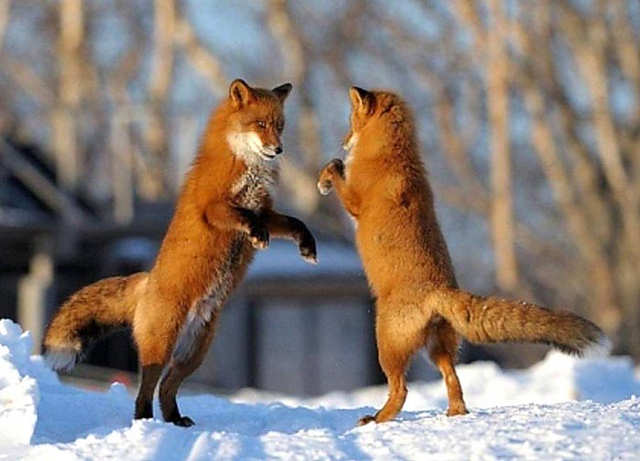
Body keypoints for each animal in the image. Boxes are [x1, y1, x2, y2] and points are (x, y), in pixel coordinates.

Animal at [43, 79, 317, 427]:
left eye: (280, 126)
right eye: (260, 124)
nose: (278, 149)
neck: (245, 166)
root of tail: (145, 283)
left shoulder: (266, 210)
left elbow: (295, 223)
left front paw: (307, 245)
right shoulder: (212, 207)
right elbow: (241, 216)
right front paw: (257, 234)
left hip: (193, 355)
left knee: (167, 388)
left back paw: (175, 420)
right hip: (161, 348)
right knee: (145, 390)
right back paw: (145, 422)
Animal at [317, 87, 610, 425]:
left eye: (350, 121)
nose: (342, 140)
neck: (391, 155)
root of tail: (440, 291)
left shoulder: (355, 202)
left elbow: (336, 169)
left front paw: (326, 176)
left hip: (387, 346)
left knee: (401, 390)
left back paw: (377, 419)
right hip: (439, 349)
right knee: (453, 379)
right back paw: (455, 413)